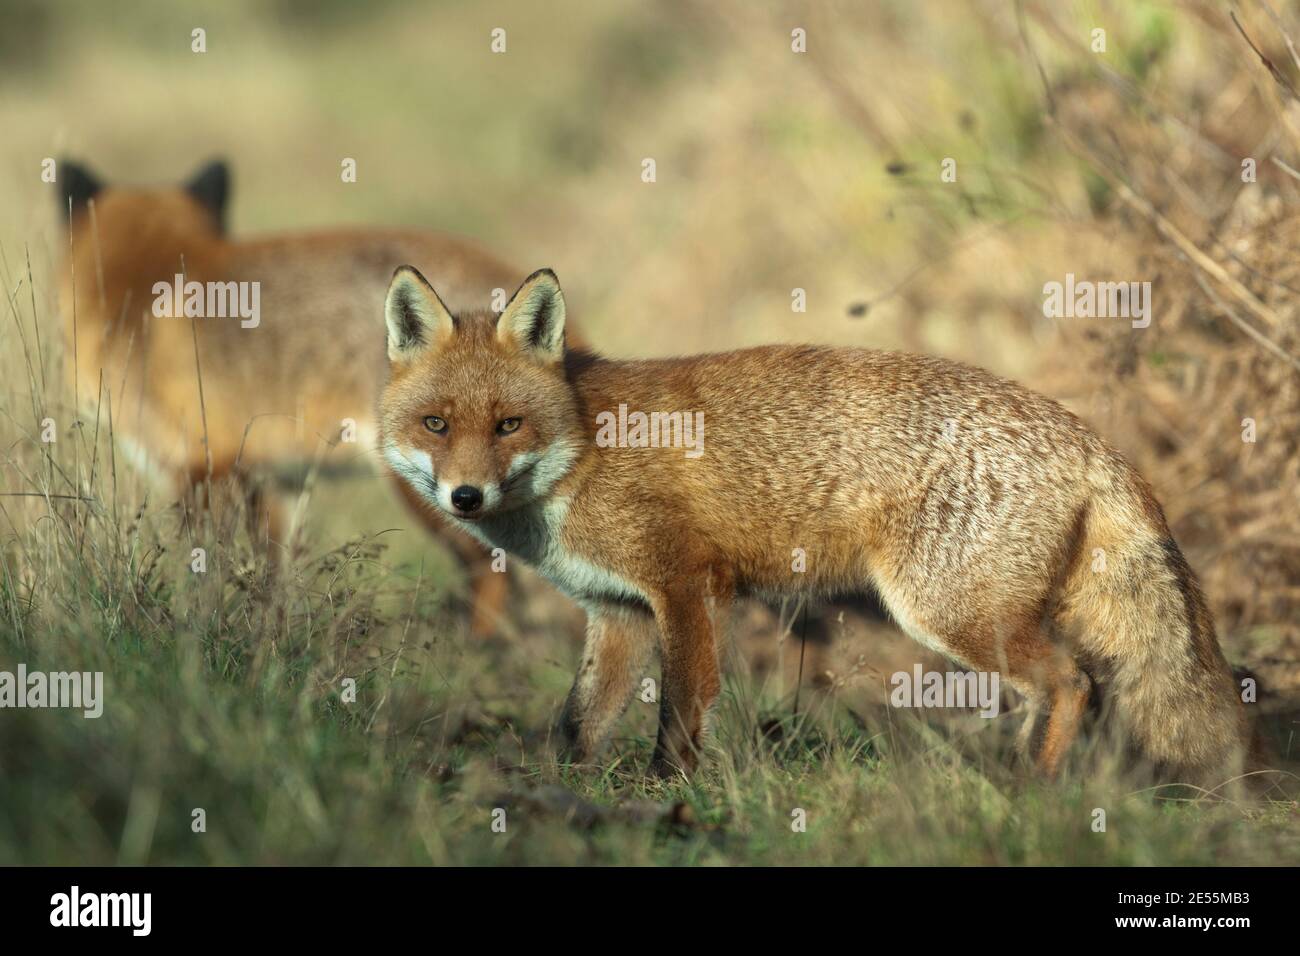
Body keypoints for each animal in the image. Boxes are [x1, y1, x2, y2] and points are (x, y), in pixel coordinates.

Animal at [56, 158, 577, 633]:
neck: (139, 287)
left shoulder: (202, 469)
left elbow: (207, 574)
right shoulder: (270, 483)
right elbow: (273, 580)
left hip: (436, 491)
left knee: (492, 573)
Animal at [379, 264, 1250, 784]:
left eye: (507, 426)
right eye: (435, 425)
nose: (464, 498)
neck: (584, 449)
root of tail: (1086, 434)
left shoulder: (690, 584)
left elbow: (681, 708)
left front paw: (666, 802)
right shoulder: (618, 610)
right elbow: (578, 724)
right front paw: (566, 796)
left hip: (946, 614)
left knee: (1072, 681)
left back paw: (1029, 791)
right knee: (1081, 685)